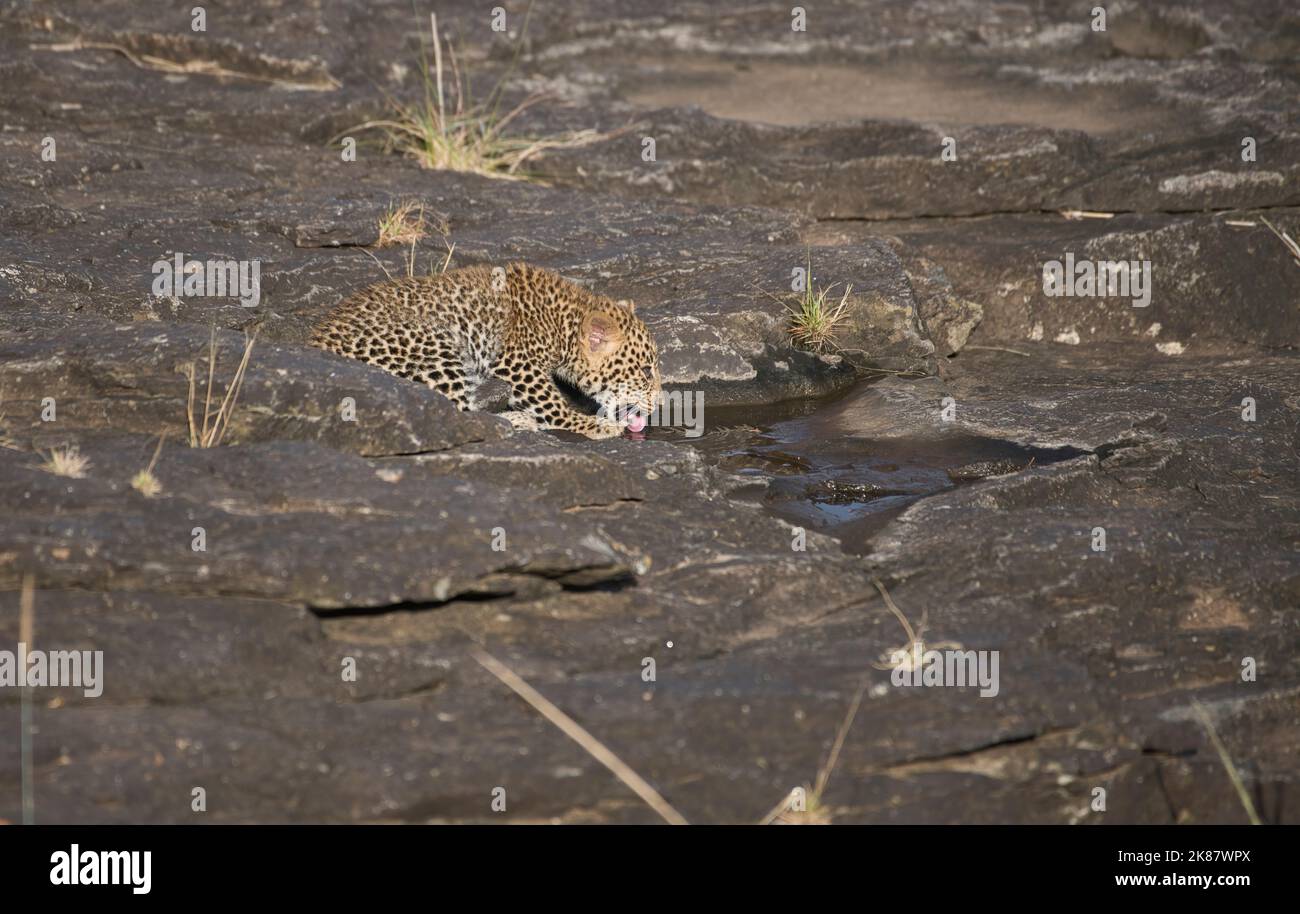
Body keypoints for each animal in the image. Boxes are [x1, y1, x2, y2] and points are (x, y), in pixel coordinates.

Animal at [310, 262, 661, 439]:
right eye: (646, 371)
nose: (659, 403)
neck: (562, 321)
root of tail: (316, 342)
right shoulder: (517, 363)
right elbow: (553, 405)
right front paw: (594, 425)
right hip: (434, 342)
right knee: (458, 412)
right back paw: (517, 420)